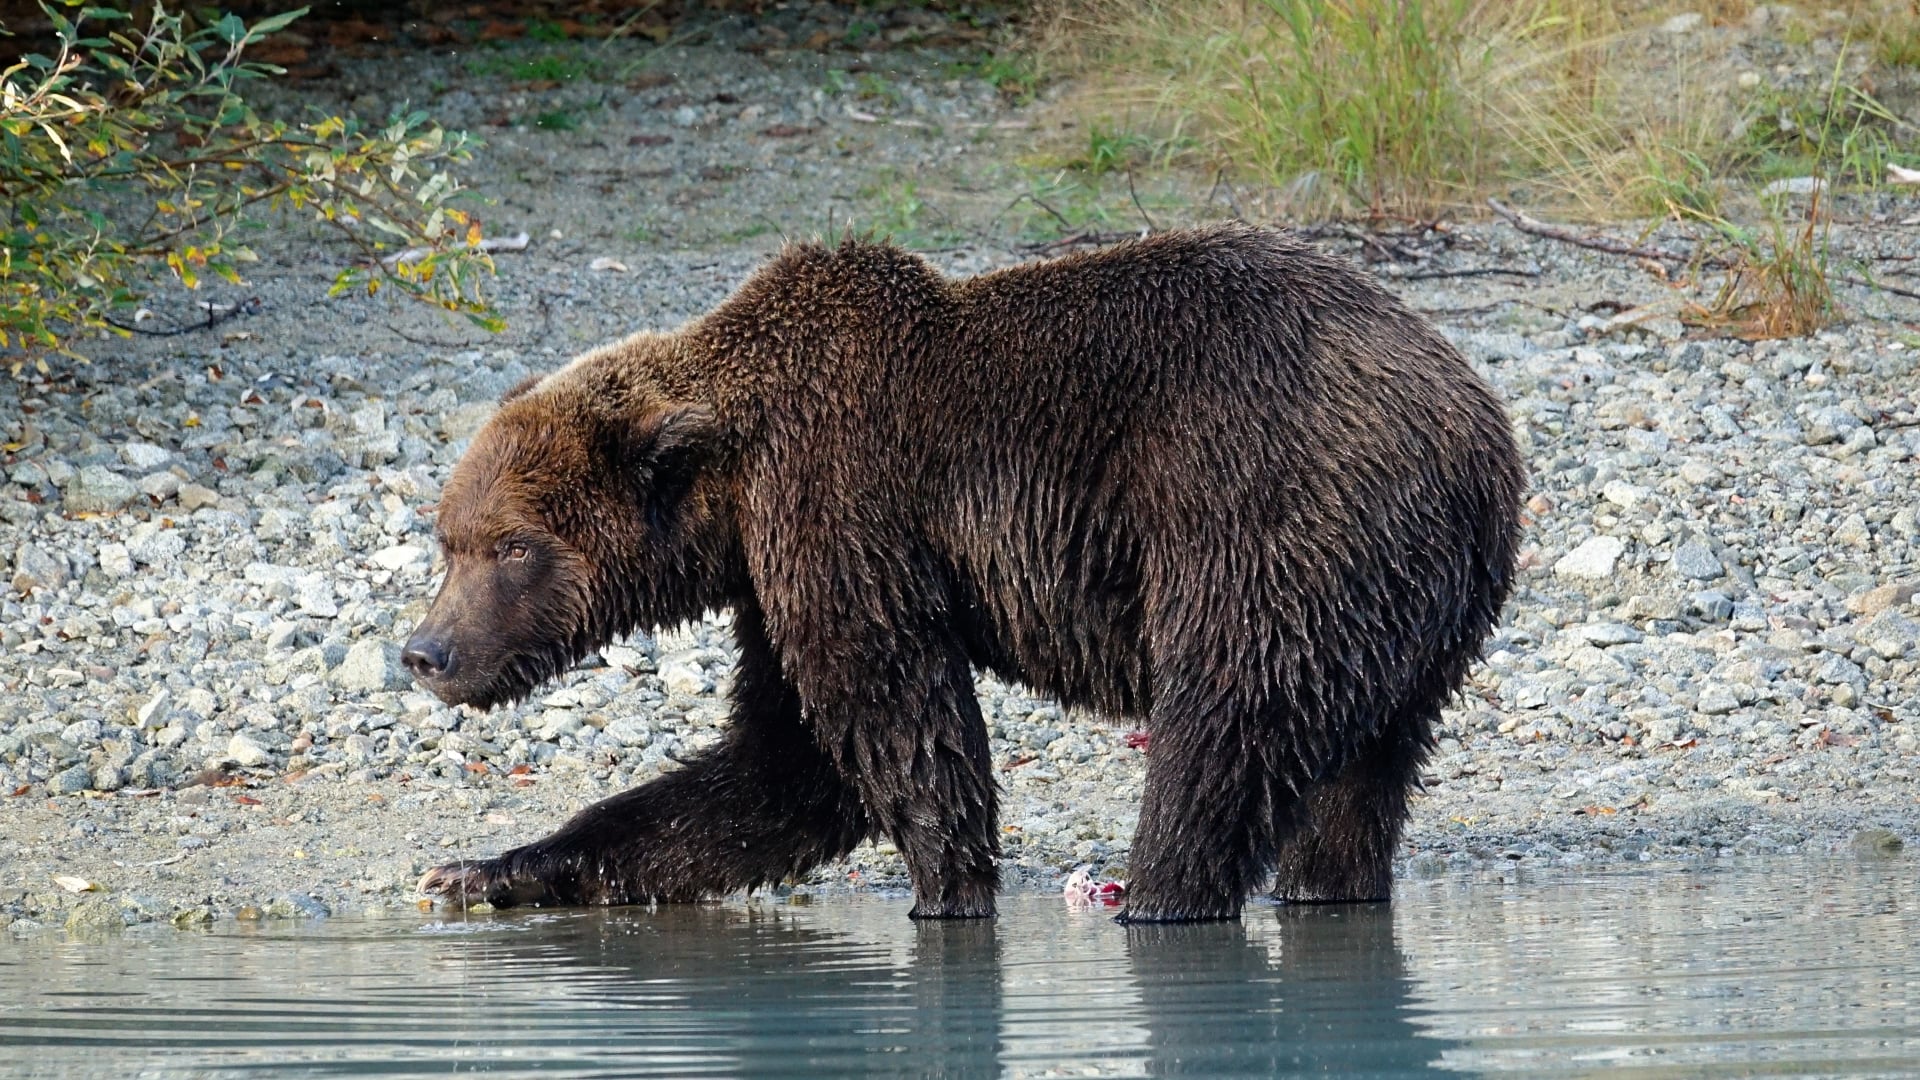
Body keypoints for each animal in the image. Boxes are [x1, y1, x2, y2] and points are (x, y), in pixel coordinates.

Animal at [403, 223, 1526, 923]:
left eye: (512, 546)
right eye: (447, 538)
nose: (425, 651)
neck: (737, 476)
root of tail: (1475, 427)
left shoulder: (842, 505)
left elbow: (890, 713)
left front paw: (946, 891)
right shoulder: (774, 577)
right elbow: (782, 767)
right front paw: (485, 869)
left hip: (1264, 518)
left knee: (1223, 728)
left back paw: (1155, 895)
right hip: (1400, 598)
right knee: (1360, 768)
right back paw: (1328, 882)